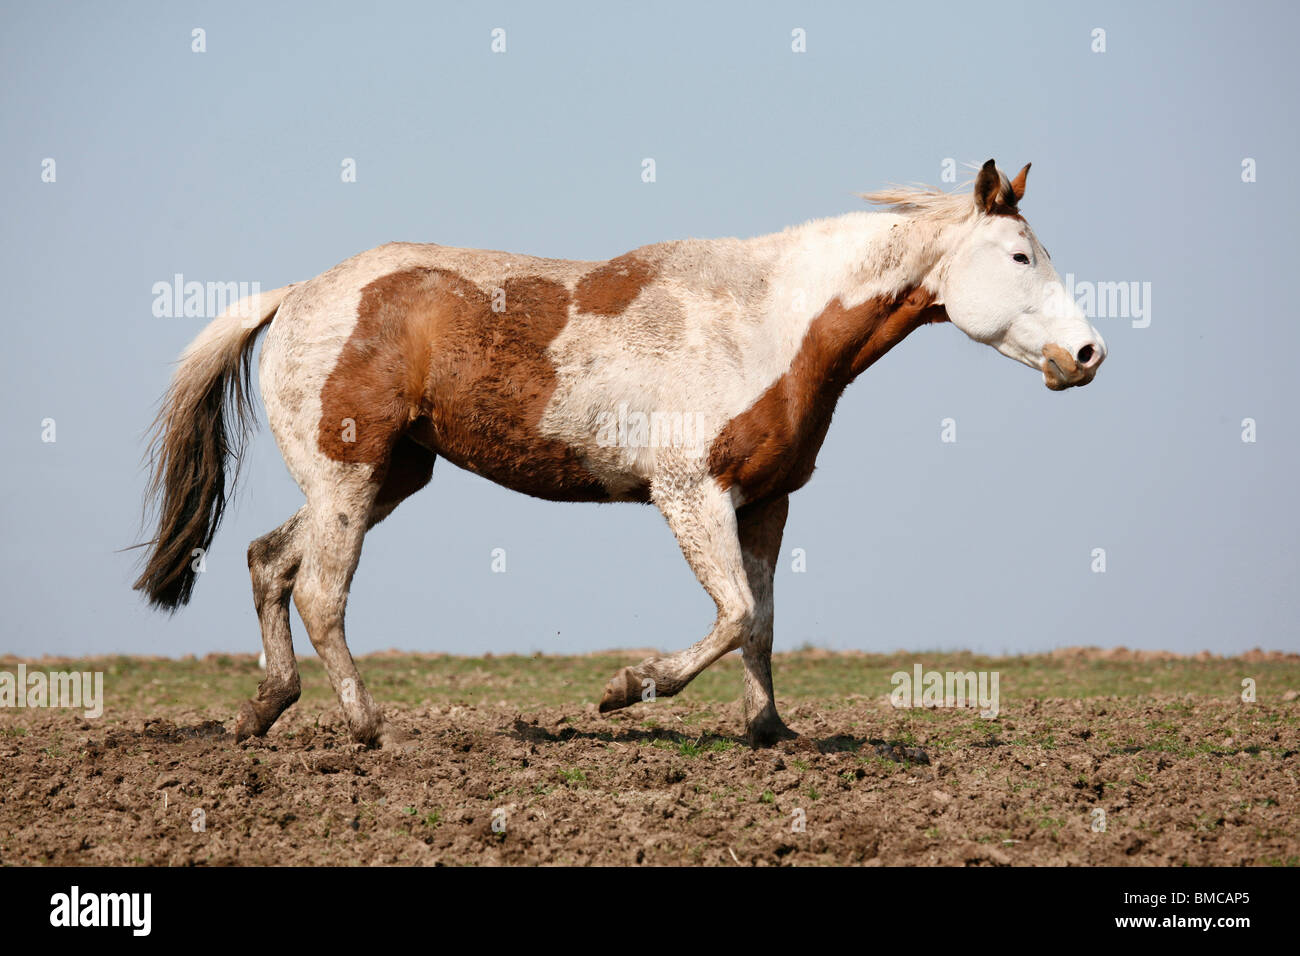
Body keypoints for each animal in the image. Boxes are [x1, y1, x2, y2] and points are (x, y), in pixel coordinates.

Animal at [134, 160, 1105, 748]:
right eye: (1020, 255)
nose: (1088, 355)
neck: (766, 323)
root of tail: (297, 295)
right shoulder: (690, 493)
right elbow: (734, 616)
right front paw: (625, 688)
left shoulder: (768, 501)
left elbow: (763, 622)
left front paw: (771, 733)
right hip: (349, 476)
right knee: (320, 593)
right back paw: (371, 728)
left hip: (390, 477)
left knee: (267, 561)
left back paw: (261, 712)